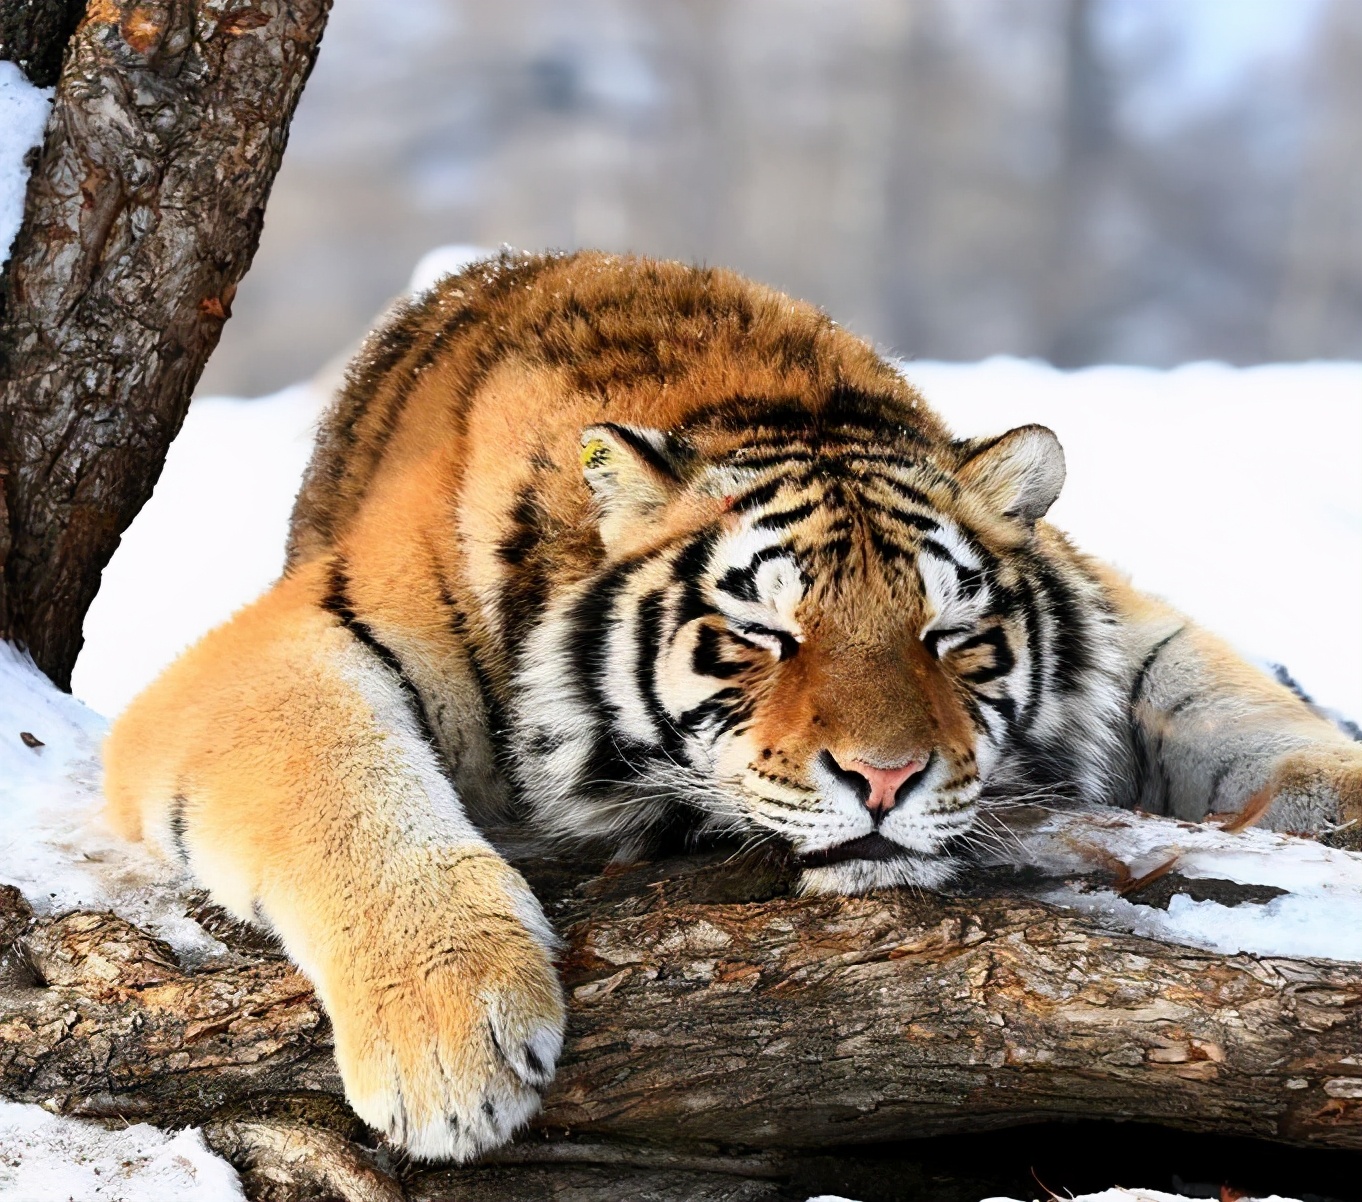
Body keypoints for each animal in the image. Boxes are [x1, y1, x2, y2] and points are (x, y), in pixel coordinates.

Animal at [103, 250, 1362, 1162]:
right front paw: (451, 1037)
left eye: (948, 635)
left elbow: (1230, 706)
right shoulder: (275, 655)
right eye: (763, 635)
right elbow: (347, 794)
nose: (886, 778)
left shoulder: (1128, 630)